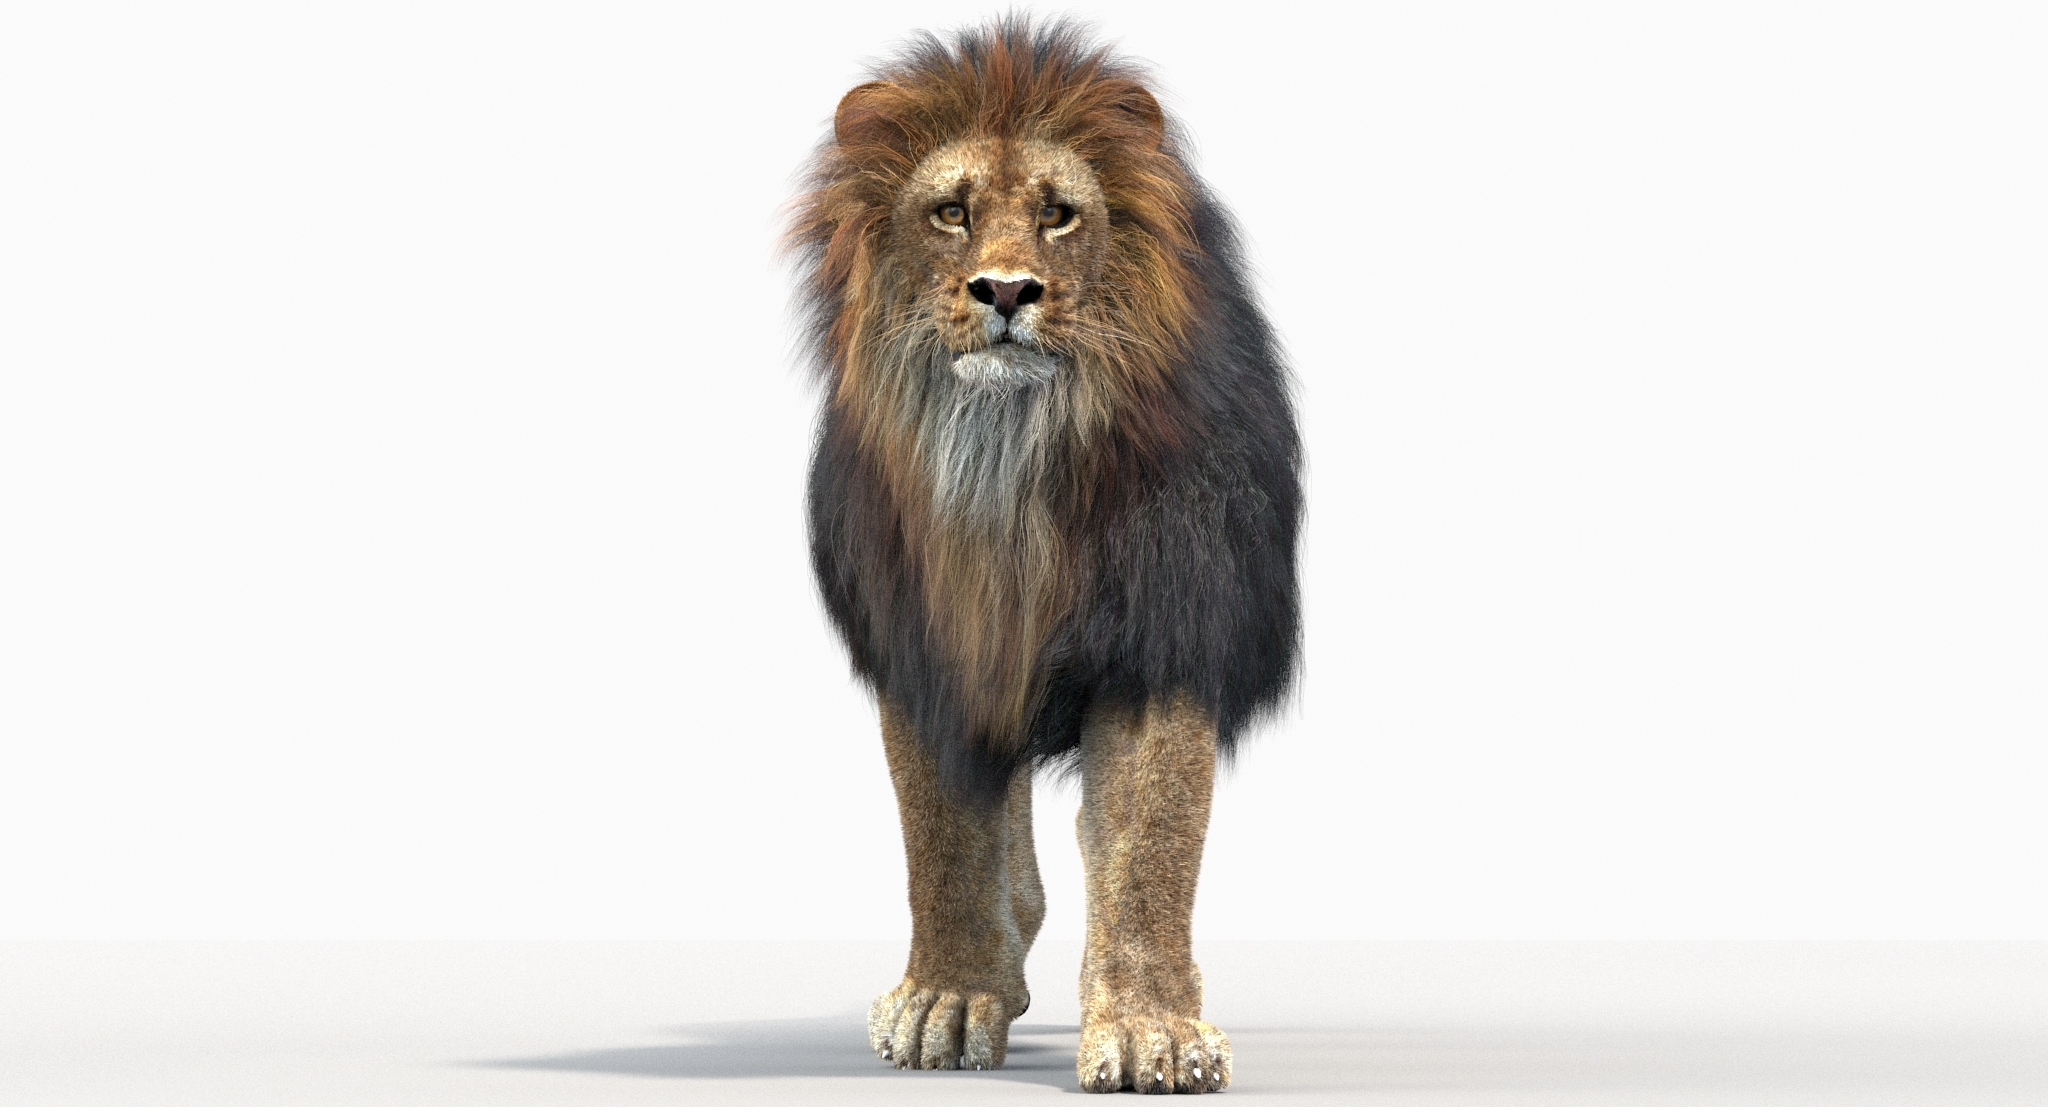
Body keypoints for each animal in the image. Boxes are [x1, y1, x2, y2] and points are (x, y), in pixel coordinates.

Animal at [786, 18, 1300, 1094]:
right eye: (950, 212)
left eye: (1057, 216)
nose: (1007, 290)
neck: (1006, 453)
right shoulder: (926, 635)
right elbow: (940, 833)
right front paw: (946, 1000)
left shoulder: (1163, 620)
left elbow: (1150, 840)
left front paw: (1150, 1030)